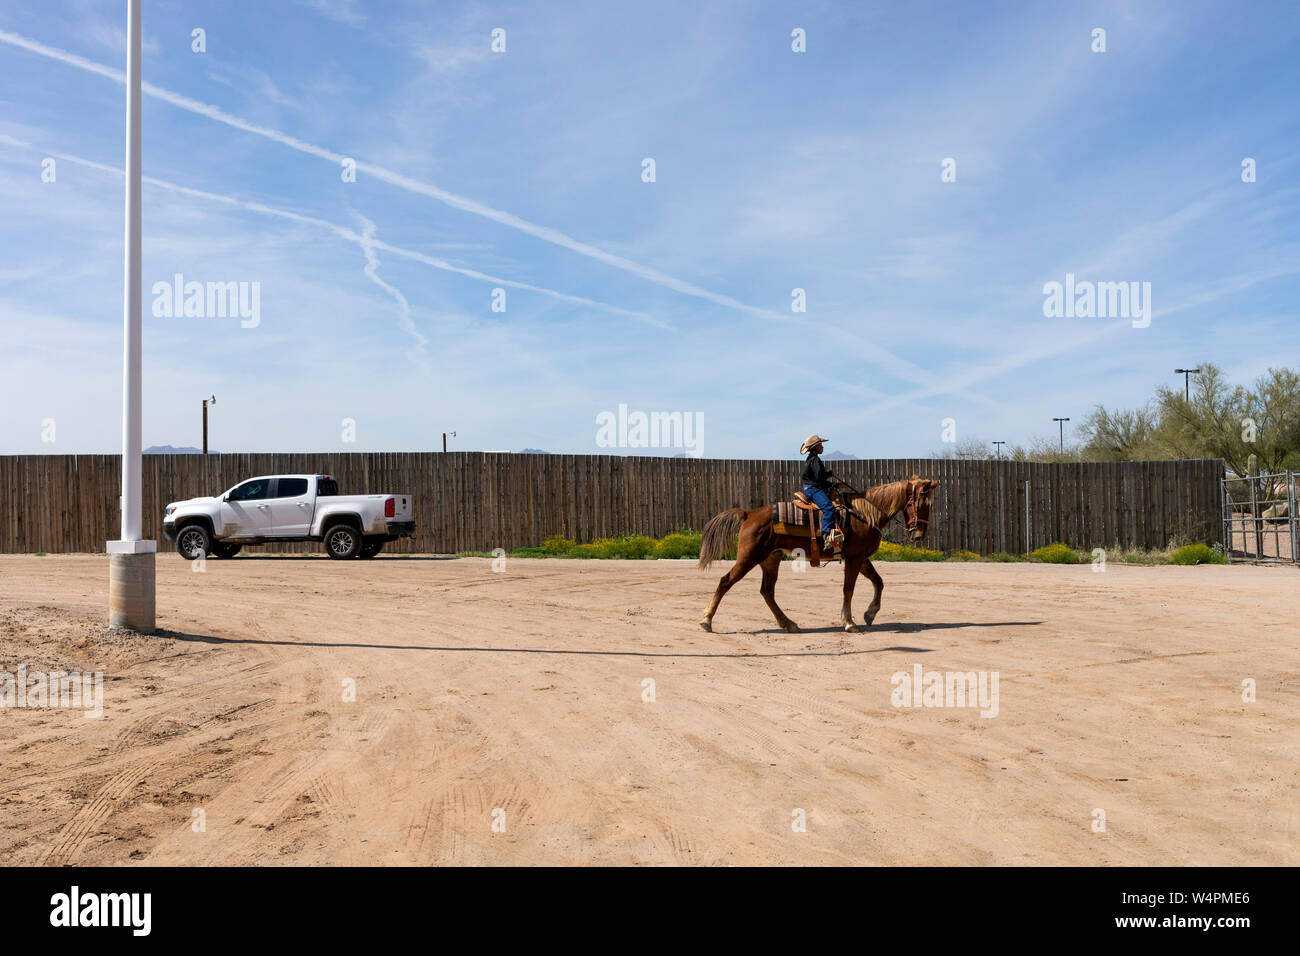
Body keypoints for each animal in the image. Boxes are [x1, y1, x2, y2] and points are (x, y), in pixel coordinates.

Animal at [697, 475, 939, 633]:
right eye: (921, 503)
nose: (918, 534)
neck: (863, 514)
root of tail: (749, 514)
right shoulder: (854, 559)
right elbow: (848, 589)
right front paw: (849, 622)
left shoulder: (861, 559)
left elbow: (878, 582)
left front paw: (870, 614)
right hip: (749, 558)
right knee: (726, 581)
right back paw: (707, 620)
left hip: (770, 559)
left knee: (767, 591)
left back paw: (789, 623)